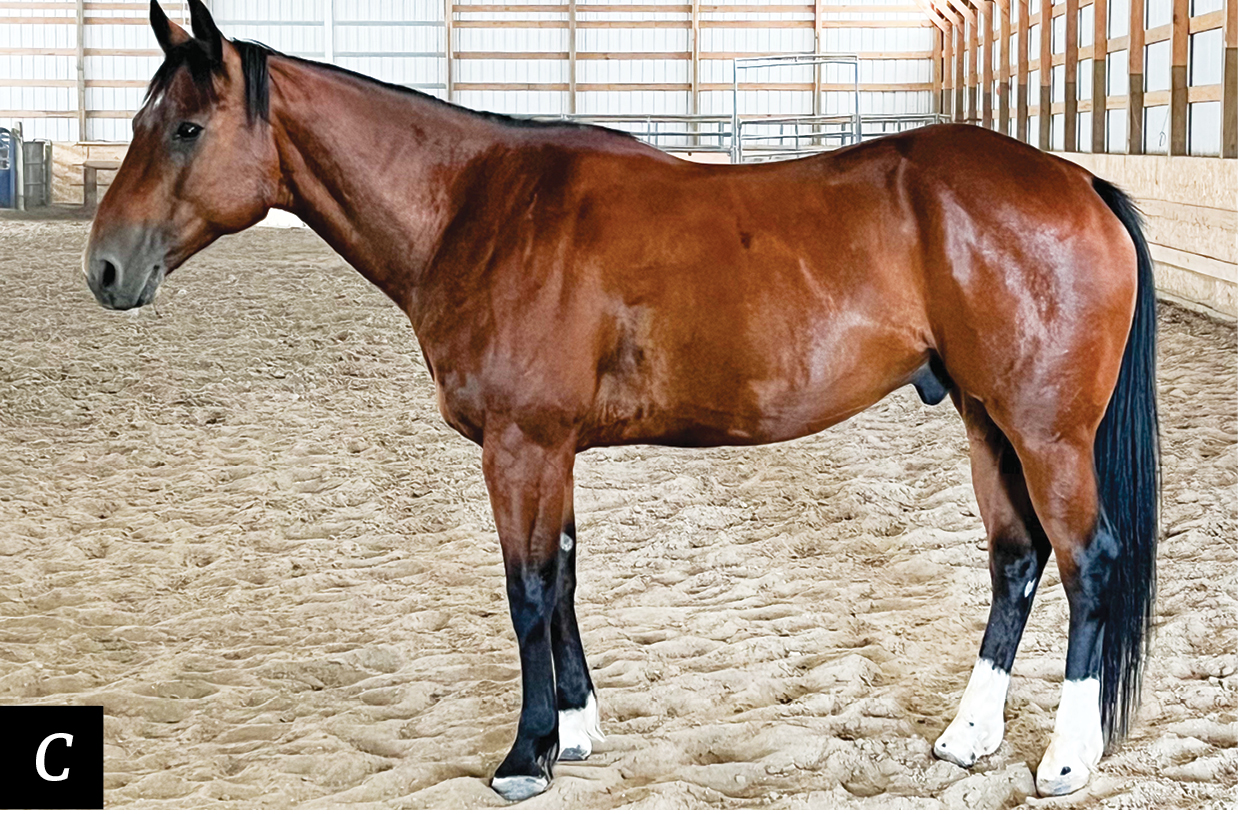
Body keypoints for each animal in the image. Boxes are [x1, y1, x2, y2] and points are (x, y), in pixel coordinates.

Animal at [84, 0, 1159, 801]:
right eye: (139, 123)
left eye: (185, 128)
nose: (103, 268)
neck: (474, 208)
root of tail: (1077, 181)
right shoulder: (550, 449)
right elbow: (561, 575)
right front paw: (574, 726)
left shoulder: (519, 445)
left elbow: (525, 590)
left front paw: (525, 754)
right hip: (986, 423)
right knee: (1016, 561)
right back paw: (968, 734)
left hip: (1045, 434)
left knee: (1086, 562)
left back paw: (1066, 757)